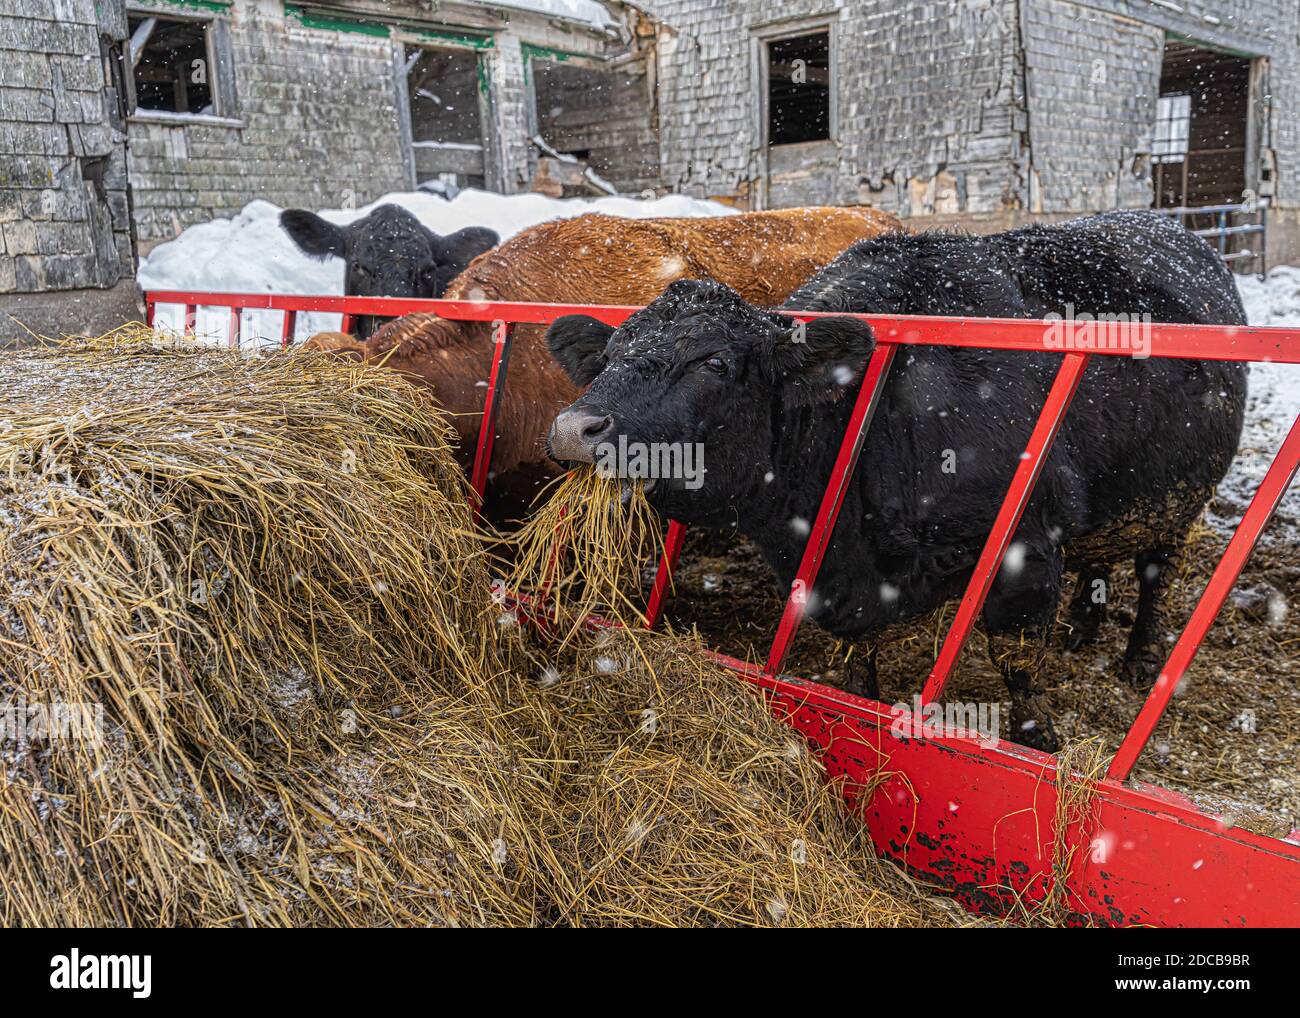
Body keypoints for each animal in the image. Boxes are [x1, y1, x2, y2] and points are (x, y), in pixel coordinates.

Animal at [544, 211, 1249, 752]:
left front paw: (1039, 742)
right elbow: (860, 659)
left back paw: (1139, 659)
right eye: (608, 357)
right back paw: (1083, 626)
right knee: (1099, 560)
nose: (574, 428)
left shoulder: (1026, 546)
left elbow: (1017, 661)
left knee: (1155, 573)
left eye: (713, 362)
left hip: (1180, 498)